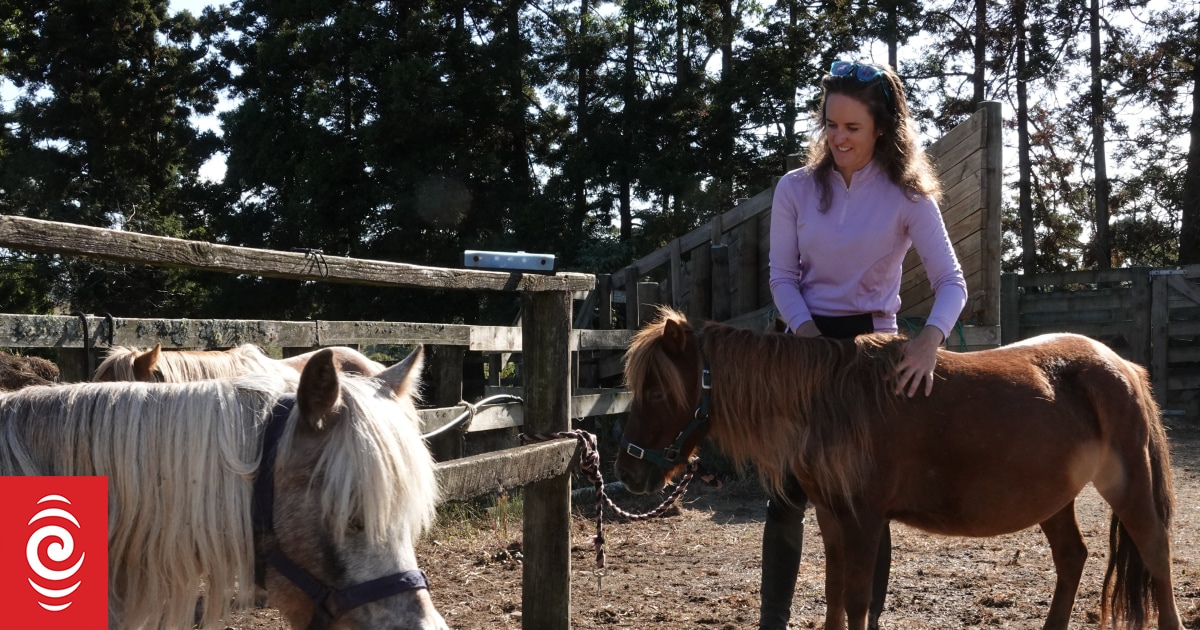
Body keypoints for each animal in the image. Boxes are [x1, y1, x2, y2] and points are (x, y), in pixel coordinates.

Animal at [615, 307, 1182, 630]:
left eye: (656, 390)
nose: (629, 472)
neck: (832, 401)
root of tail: (1121, 366)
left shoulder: (864, 520)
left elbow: (858, 601)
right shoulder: (832, 516)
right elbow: (835, 597)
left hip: (1128, 487)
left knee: (1156, 556)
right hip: (1053, 497)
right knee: (1072, 559)